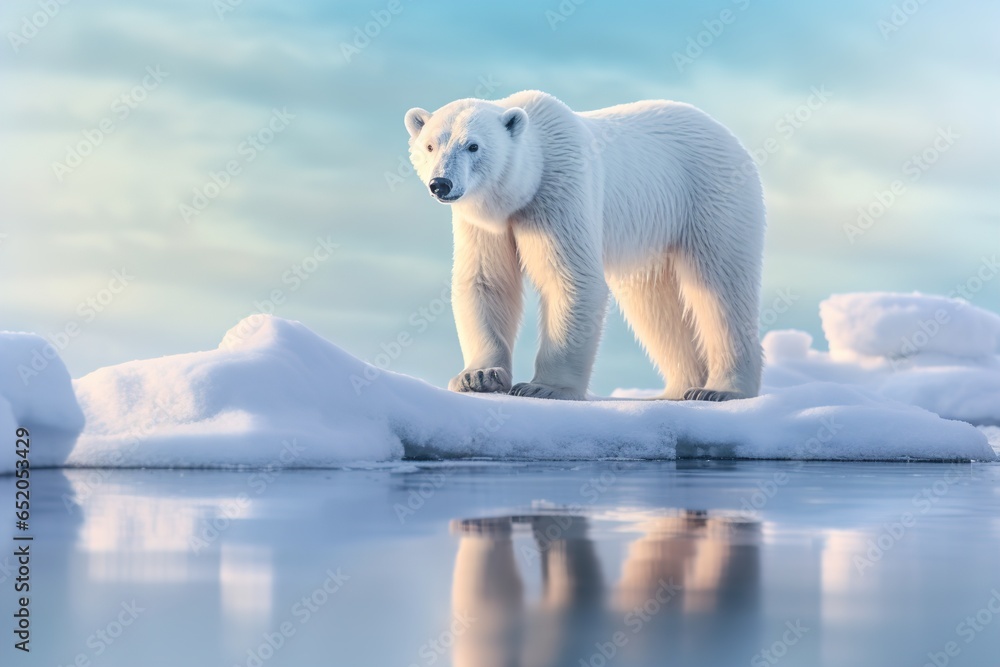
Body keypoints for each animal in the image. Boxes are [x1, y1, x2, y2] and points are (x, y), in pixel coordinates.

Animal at [404, 90, 765, 401]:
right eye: (431, 145)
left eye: (473, 146)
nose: (441, 183)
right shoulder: (484, 224)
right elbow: (486, 281)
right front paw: (478, 376)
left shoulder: (561, 191)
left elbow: (570, 278)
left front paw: (544, 387)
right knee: (653, 304)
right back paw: (677, 389)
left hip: (711, 198)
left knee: (721, 288)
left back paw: (720, 389)